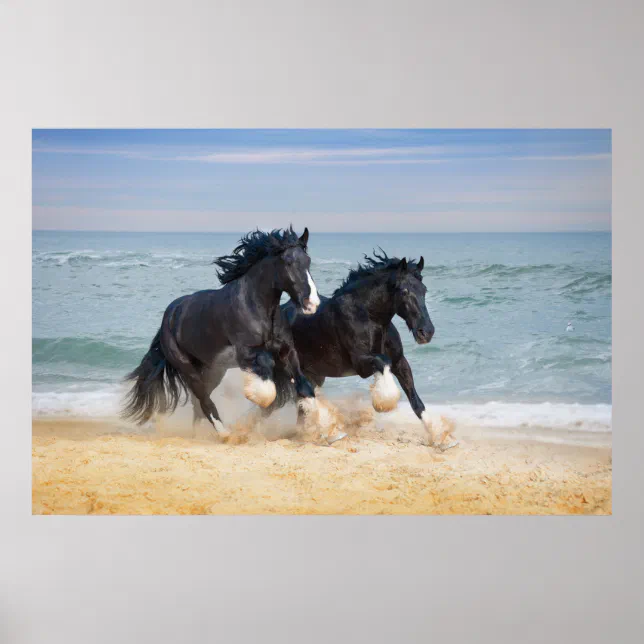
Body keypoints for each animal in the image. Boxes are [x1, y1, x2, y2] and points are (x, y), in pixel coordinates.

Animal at [121, 226, 321, 438]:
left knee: (198, 404)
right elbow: (268, 384)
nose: (312, 303)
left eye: (308, 261)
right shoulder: (247, 353)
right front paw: (255, 394)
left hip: (213, 370)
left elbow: (305, 386)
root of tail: (169, 317)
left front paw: (315, 423)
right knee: (204, 402)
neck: (256, 307)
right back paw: (225, 435)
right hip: (188, 369)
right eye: (288, 262)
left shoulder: (287, 351)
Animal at [269, 250, 459, 450]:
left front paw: (442, 439)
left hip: (314, 376)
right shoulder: (361, 363)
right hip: (289, 370)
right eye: (405, 291)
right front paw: (384, 402)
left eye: (424, 290)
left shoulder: (400, 362)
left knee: (302, 404)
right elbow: (383, 362)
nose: (426, 332)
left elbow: (416, 401)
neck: (368, 316)